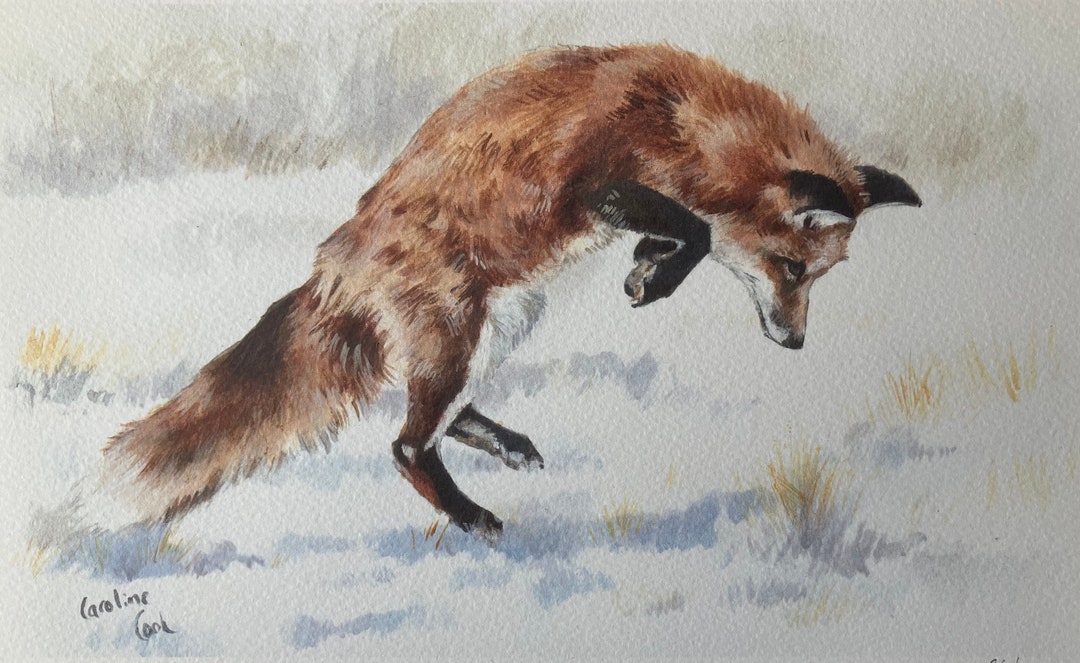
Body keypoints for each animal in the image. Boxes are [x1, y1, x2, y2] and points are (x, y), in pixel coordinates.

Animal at [103, 44, 920, 540]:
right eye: (792, 270)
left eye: (817, 278)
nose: (796, 342)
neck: (687, 122)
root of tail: (335, 261)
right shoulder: (592, 183)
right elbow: (691, 226)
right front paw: (653, 274)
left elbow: (683, 229)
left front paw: (647, 262)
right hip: (459, 330)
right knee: (406, 443)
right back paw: (471, 517)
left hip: (507, 318)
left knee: (439, 415)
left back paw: (506, 445)